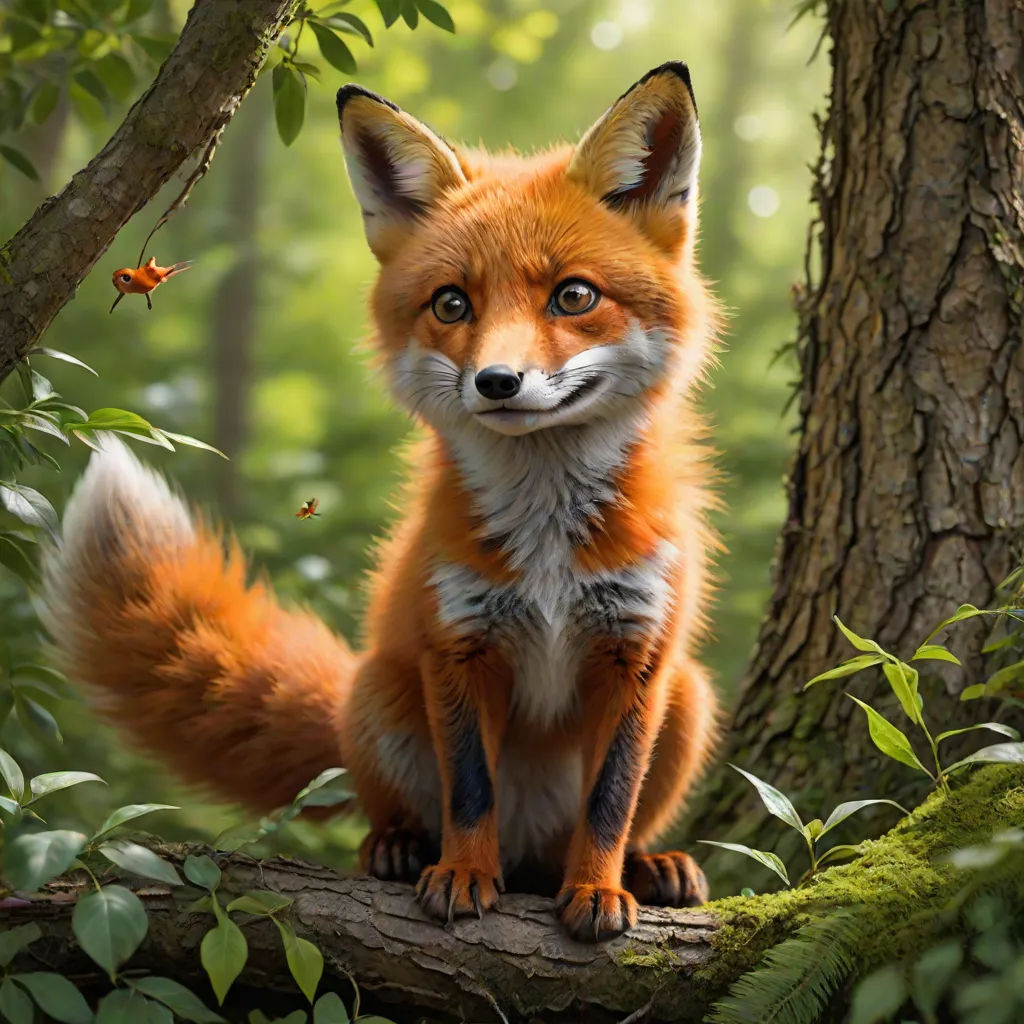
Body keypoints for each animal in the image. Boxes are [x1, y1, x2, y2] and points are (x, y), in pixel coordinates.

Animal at [41, 61, 720, 942]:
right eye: (451, 304)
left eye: (574, 297)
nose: (497, 382)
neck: (547, 546)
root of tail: (531, 850)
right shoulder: (457, 644)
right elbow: (470, 792)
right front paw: (462, 875)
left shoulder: (636, 651)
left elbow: (608, 801)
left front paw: (598, 888)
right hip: (381, 694)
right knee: (411, 813)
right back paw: (400, 850)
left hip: (689, 698)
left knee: (604, 826)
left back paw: (644, 865)